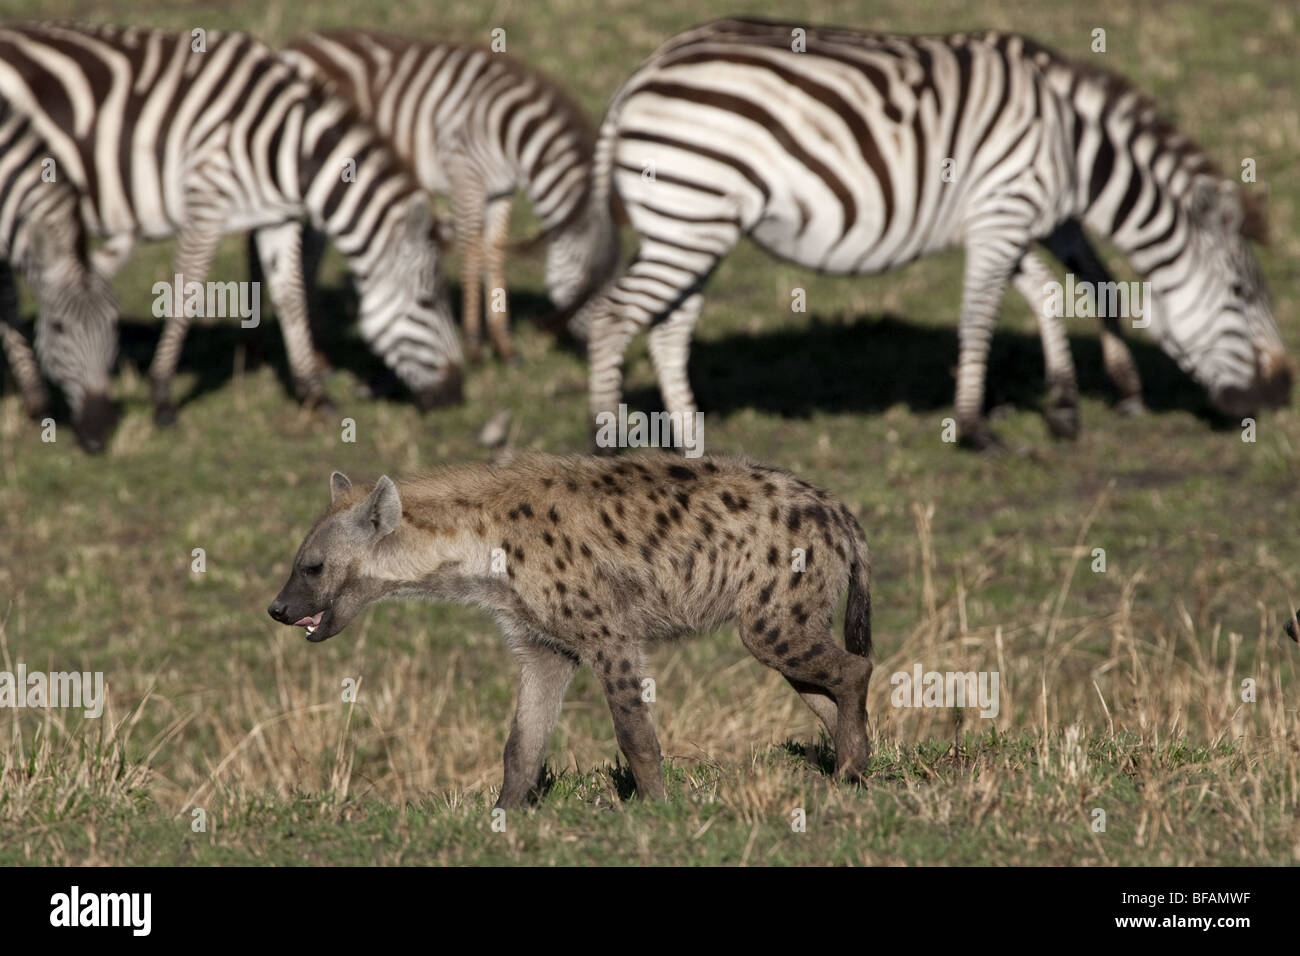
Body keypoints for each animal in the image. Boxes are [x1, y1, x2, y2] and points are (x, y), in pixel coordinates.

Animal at [277, 30, 620, 364]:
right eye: (592, 289)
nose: (596, 349)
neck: (507, 132)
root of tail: (294, 47)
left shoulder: (501, 190)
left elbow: (494, 251)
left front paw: (504, 346)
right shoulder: (464, 177)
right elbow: (471, 251)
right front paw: (473, 345)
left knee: (309, 249)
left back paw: (320, 343)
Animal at [569, 17, 1291, 449]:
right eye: (1240, 295)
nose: (1282, 390)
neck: (1072, 143)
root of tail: (640, 77)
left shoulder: (1015, 217)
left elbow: (1064, 288)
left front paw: (1074, 404)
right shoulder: (1003, 212)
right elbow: (984, 314)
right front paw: (974, 428)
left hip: (695, 227)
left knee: (668, 328)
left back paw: (695, 445)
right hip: (688, 218)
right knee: (612, 316)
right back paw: (609, 441)